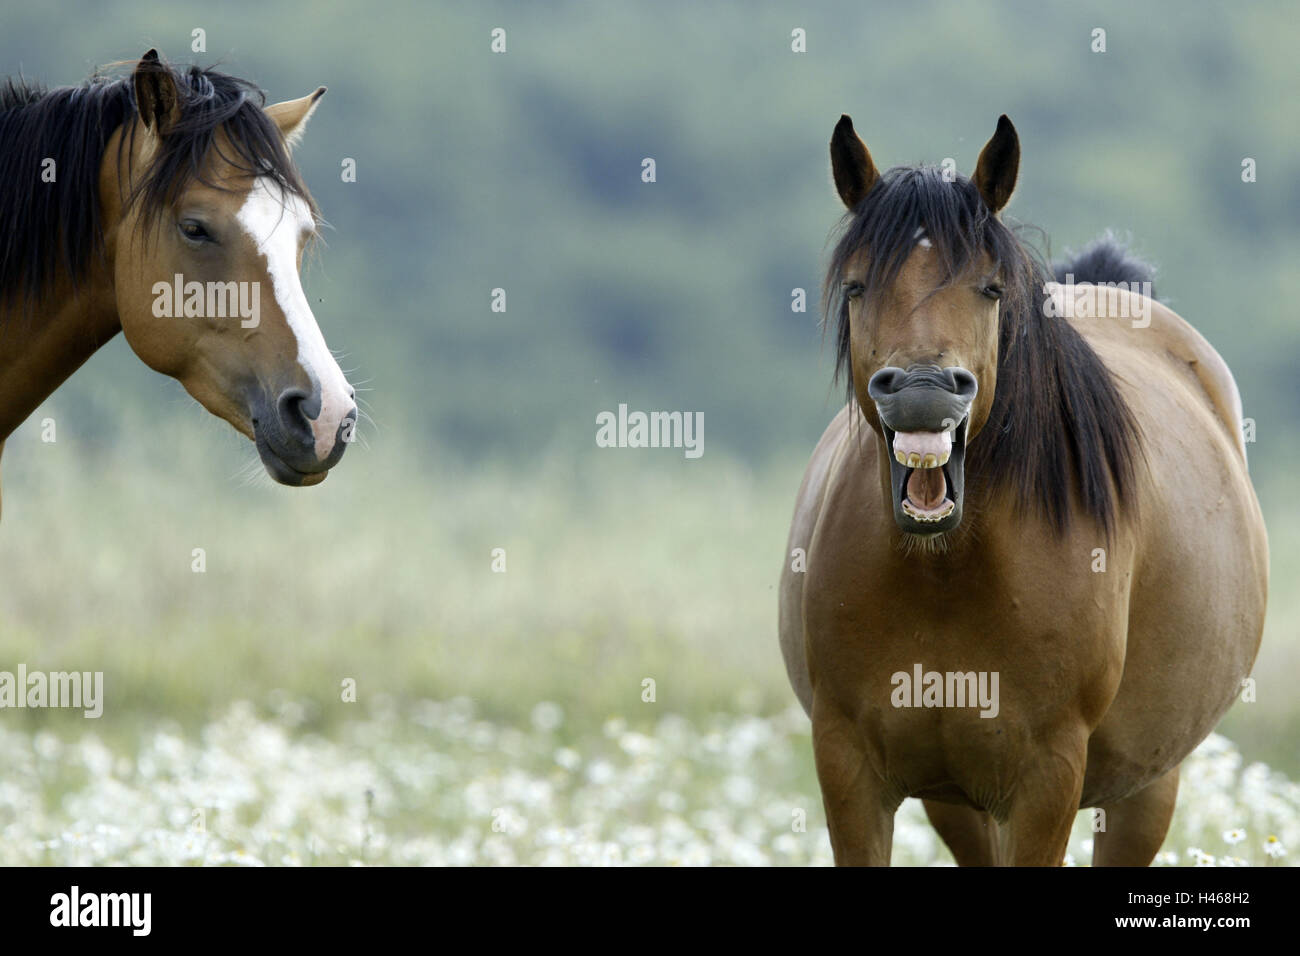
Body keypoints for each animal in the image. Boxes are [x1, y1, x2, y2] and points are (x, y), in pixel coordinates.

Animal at [779, 113, 1268, 866]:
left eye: (991, 288)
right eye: (858, 287)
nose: (923, 392)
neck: (944, 574)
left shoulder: (1046, 780)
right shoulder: (850, 769)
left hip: (1145, 789)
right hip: (958, 802)